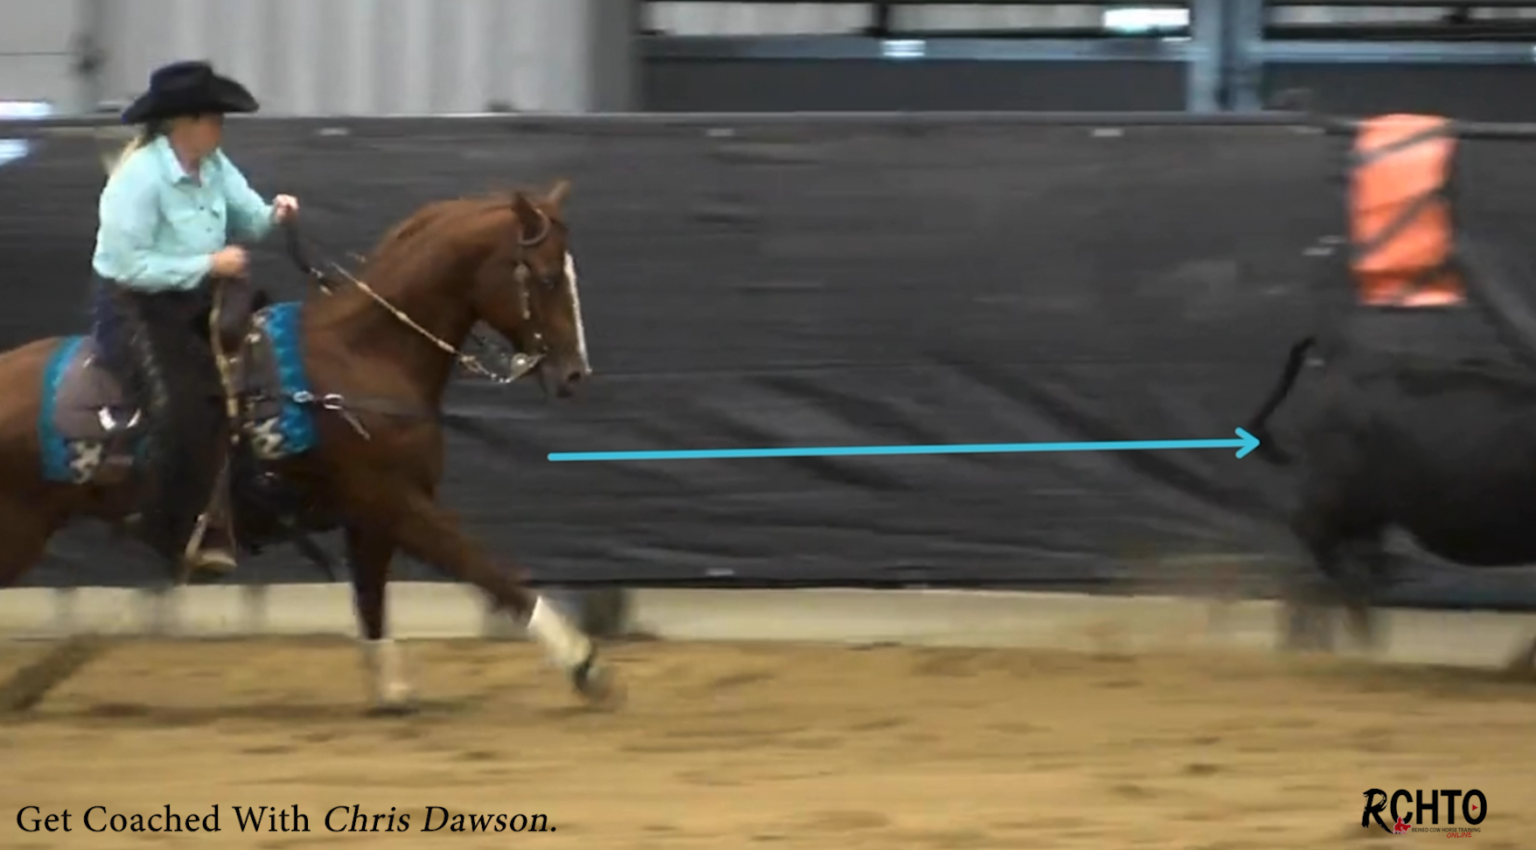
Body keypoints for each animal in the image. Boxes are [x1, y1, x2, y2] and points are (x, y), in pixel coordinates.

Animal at [0, 179, 620, 713]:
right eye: (545, 277)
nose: (574, 373)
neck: (362, 354)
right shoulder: (396, 502)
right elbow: (489, 570)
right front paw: (584, 663)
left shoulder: (370, 519)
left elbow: (371, 602)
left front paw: (391, 690)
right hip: (18, 533)